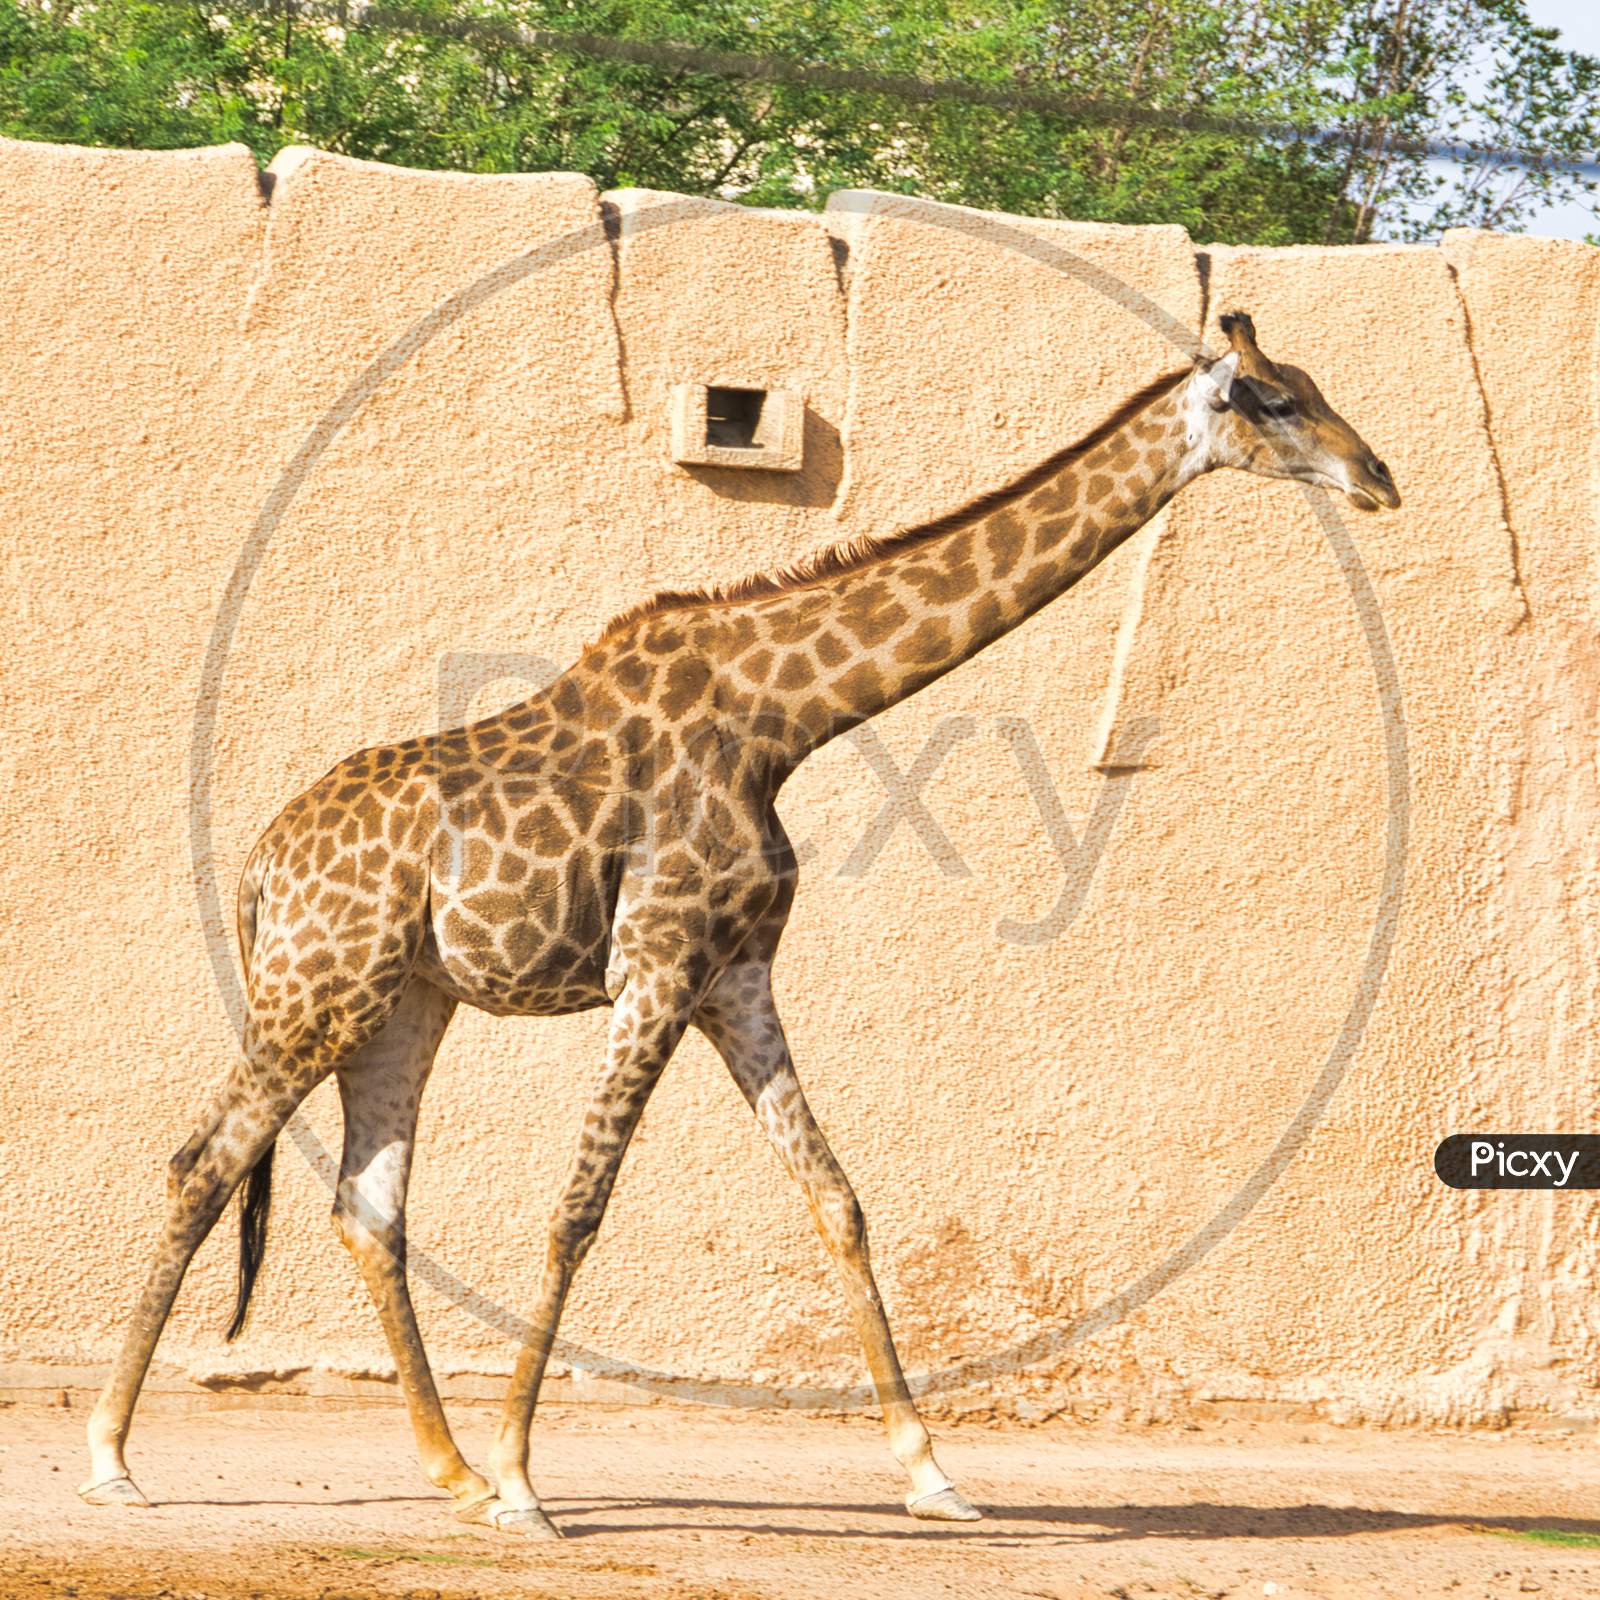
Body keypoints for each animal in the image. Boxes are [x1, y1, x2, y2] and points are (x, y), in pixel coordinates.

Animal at [82, 311, 1399, 1532]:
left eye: (1314, 386)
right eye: (1275, 398)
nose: (1380, 478)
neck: (781, 718)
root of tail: (262, 862)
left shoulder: (737, 977)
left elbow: (838, 1200)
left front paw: (931, 1475)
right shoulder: (656, 965)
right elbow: (577, 1211)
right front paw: (524, 1482)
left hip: (408, 999)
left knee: (366, 1206)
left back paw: (444, 1471)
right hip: (323, 983)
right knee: (204, 1161)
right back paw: (116, 1460)